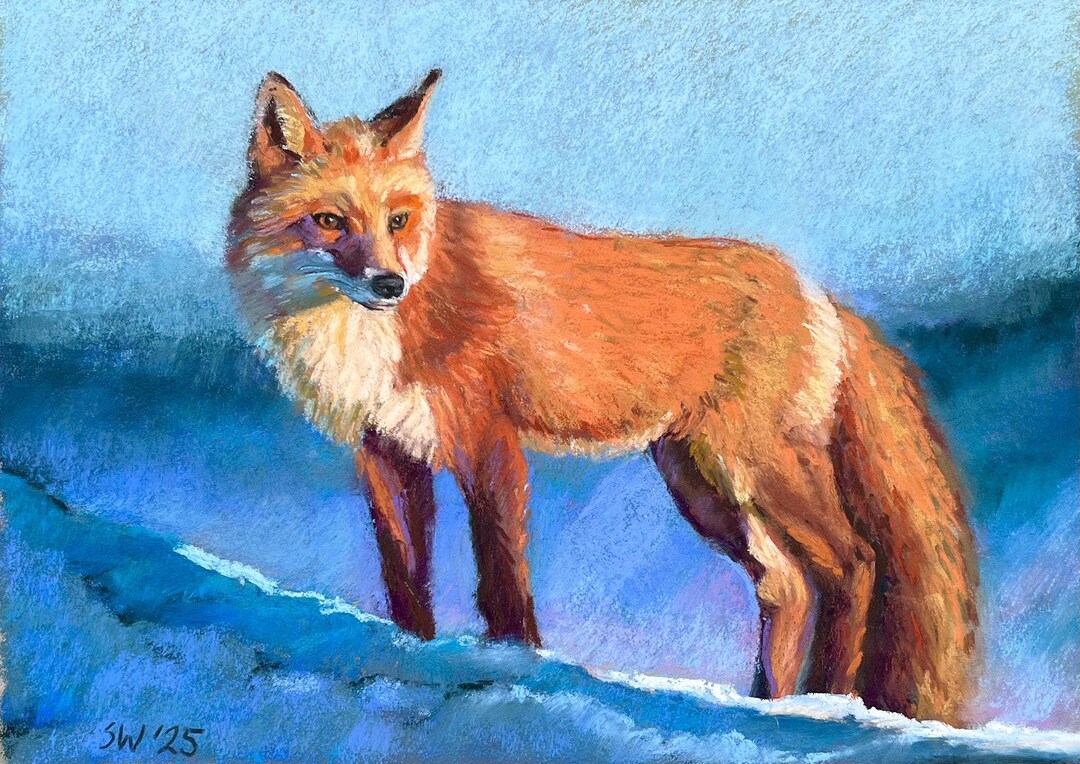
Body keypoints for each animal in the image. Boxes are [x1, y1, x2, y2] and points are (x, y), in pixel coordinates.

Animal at [226, 69, 979, 725]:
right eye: (330, 221)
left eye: (399, 220)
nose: (390, 284)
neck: (367, 336)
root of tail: (817, 290)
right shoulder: (387, 453)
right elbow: (404, 579)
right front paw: (411, 656)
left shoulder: (488, 443)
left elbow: (502, 578)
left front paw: (517, 668)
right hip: (702, 485)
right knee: (786, 587)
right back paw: (767, 704)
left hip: (756, 469)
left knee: (854, 564)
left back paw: (827, 703)